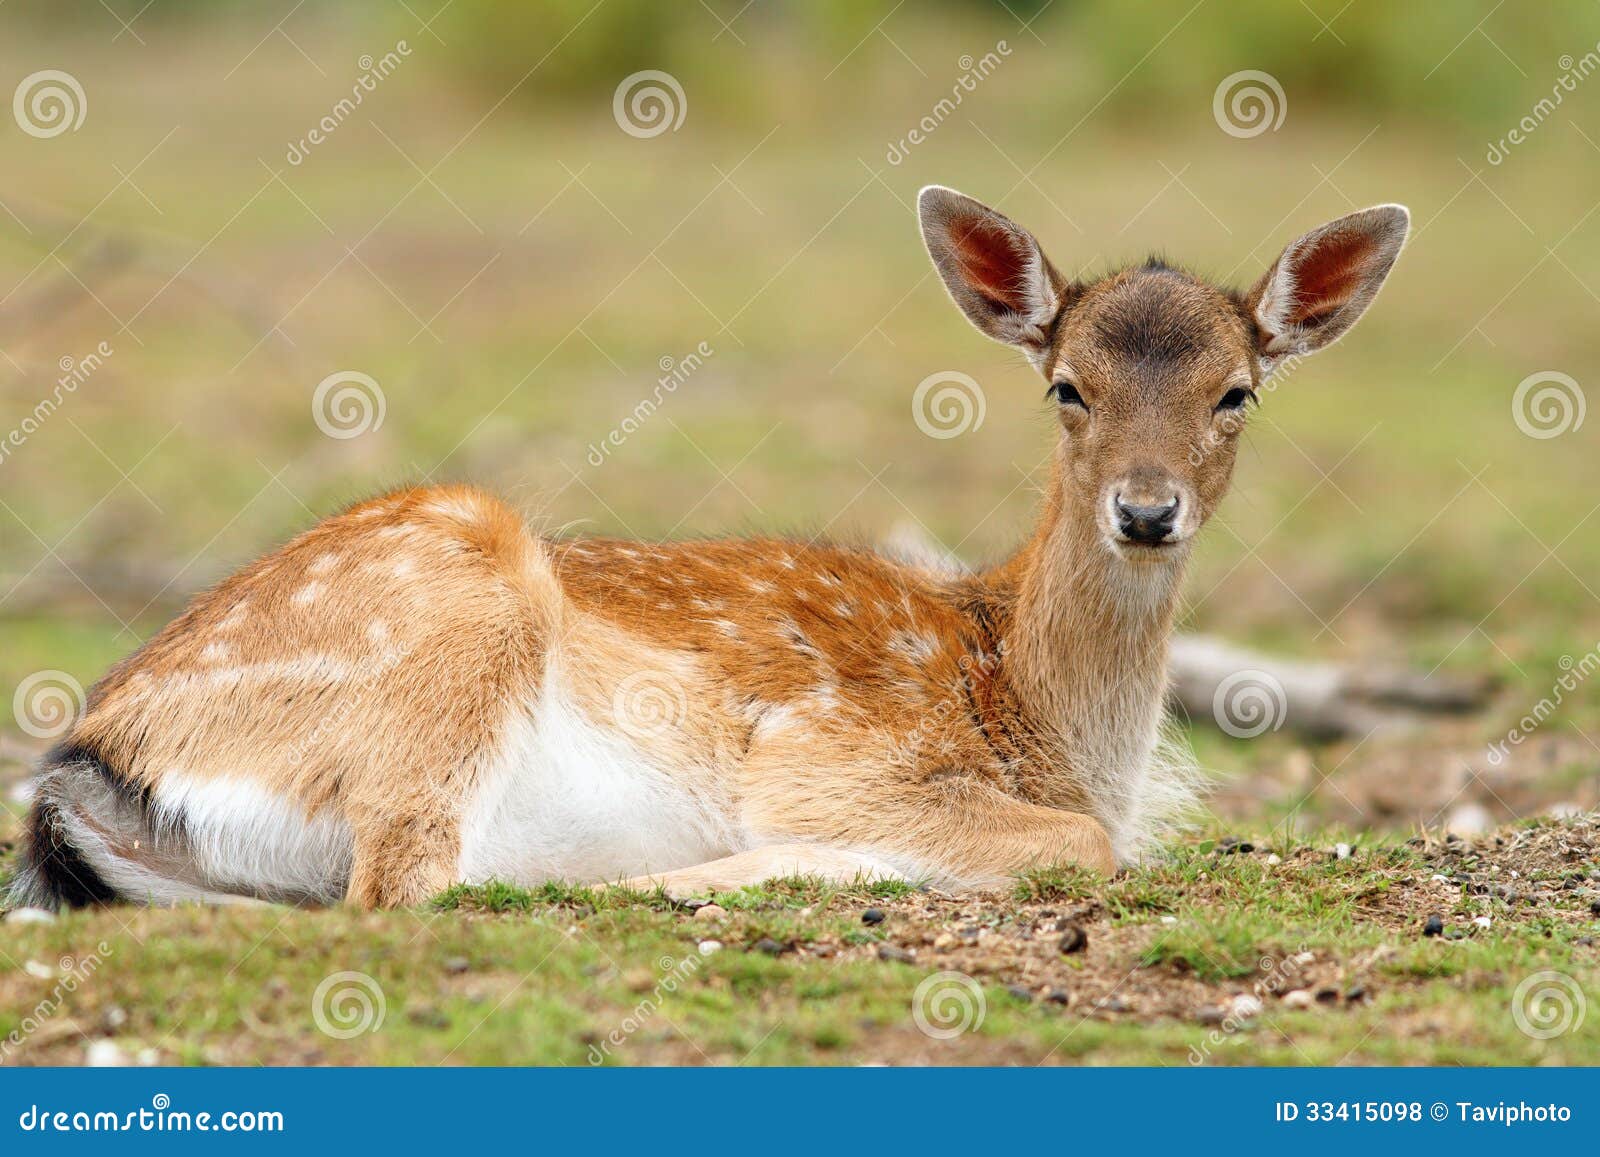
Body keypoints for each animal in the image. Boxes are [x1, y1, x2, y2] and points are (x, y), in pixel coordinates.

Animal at [9, 186, 1408, 910]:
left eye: (1237, 392)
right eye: (1067, 384)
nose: (1146, 510)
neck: (1029, 702)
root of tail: (87, 767)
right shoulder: (833, 747)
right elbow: (1080, 845)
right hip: (457, 615)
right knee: (422, 883)